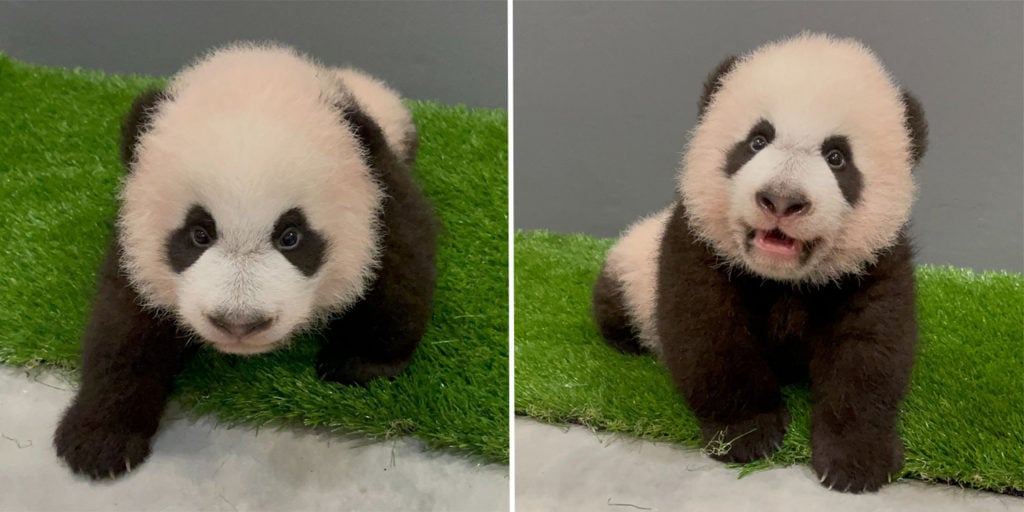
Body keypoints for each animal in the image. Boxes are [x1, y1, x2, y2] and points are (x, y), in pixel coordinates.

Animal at [54, 42, 437, 479]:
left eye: (291, 237)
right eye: (199, 234)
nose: (239, 323)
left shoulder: (378, 187)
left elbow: (399, 267)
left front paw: (360, 363)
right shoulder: (135, 240)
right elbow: (123, 324)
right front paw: (99, 440)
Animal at [593, 33, 928, 493]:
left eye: (837, 157)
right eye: (757, 141)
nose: (782, 199)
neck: (781, 277)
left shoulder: (874, 263)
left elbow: (869, 350)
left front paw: (857, 461)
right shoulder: (696, 243)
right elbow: (709, 335)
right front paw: (747, 434)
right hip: (629, 268)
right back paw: (626, 342)